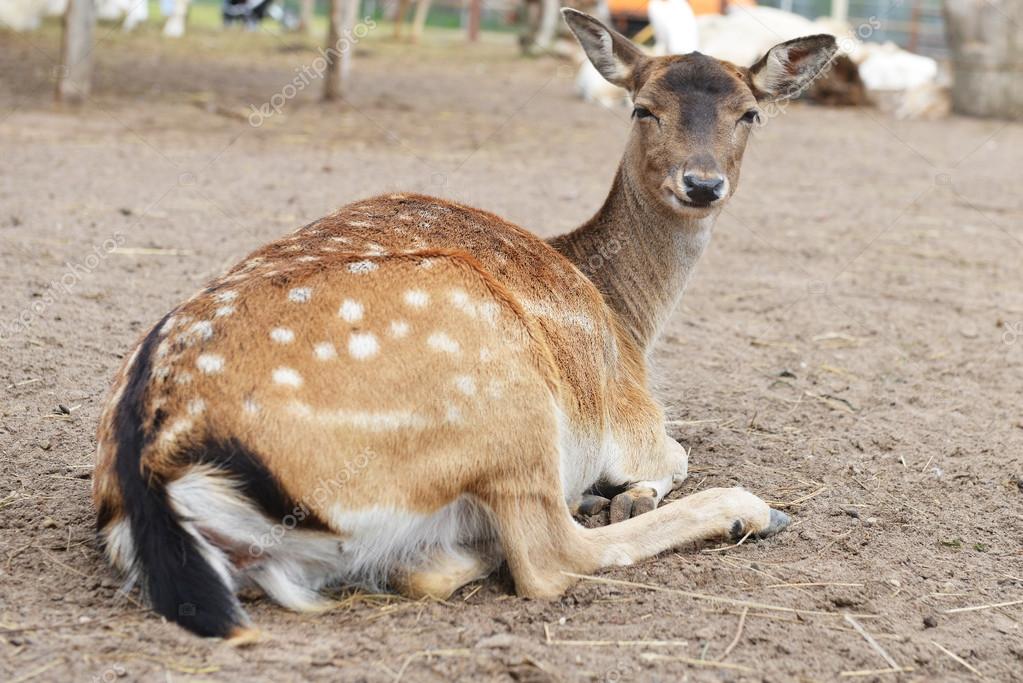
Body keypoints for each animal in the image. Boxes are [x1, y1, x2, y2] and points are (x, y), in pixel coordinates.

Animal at [92, 8, 837, 641]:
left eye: (749, 114)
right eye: (642, 107)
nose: (701, 183)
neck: (628, 318)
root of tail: (155, 463)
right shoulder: (633, 418)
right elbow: (672, 457)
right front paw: (634, 493)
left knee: (423, 569)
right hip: (499, 389)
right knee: (549, 556)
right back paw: (746, 509)